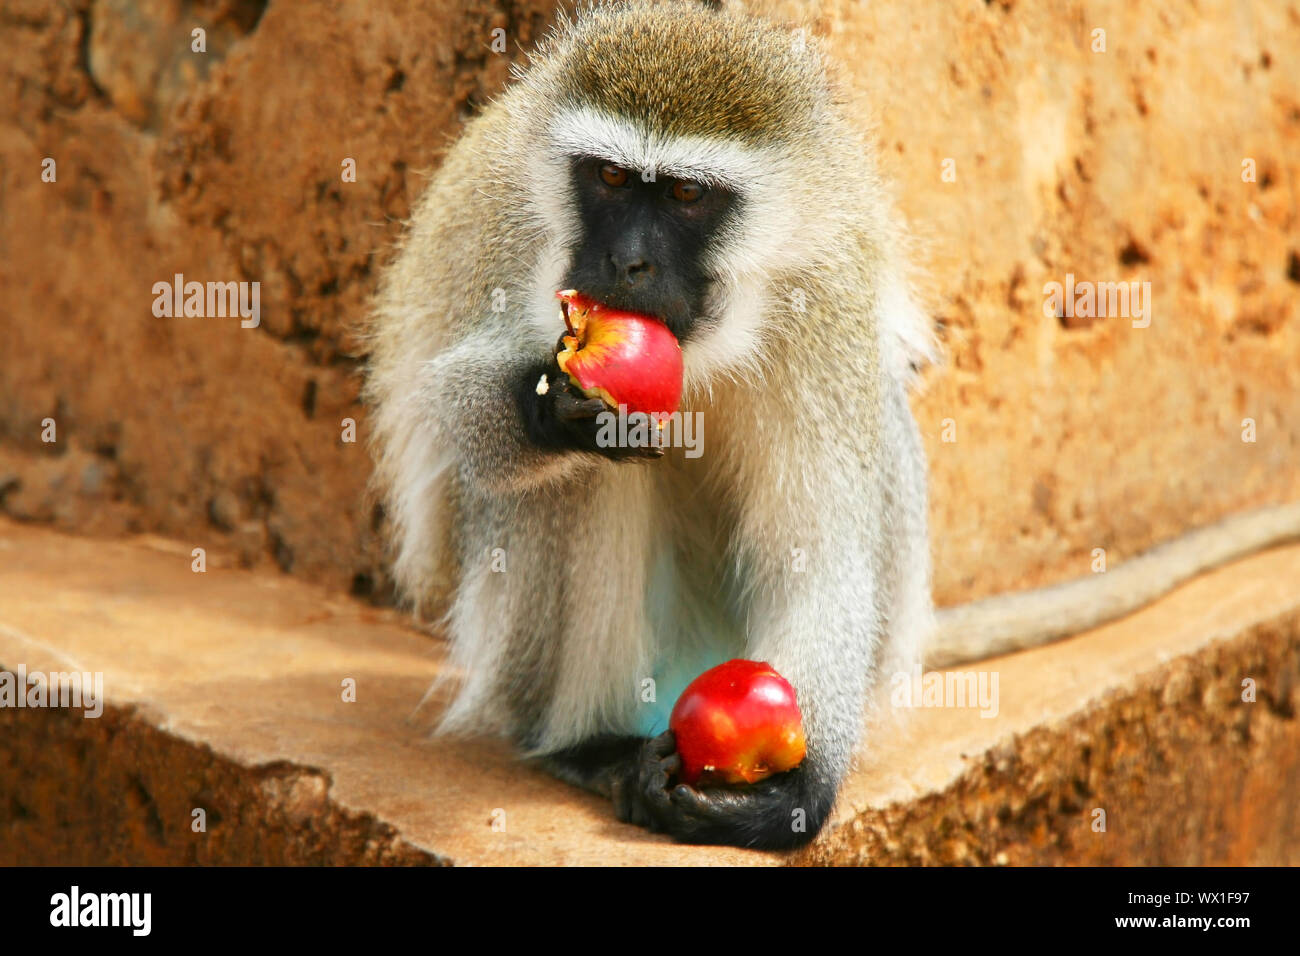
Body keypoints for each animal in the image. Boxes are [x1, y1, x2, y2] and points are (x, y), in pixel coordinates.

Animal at [364, 0, 1300, 850]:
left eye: (685, 194)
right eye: (609, 180)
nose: (624, 263)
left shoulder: (828, 288)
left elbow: (822, 546)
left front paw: (797, 793)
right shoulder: (517, 247)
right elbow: (446, 419)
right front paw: (555, 405)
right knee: (577, 485)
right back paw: (592, 747)